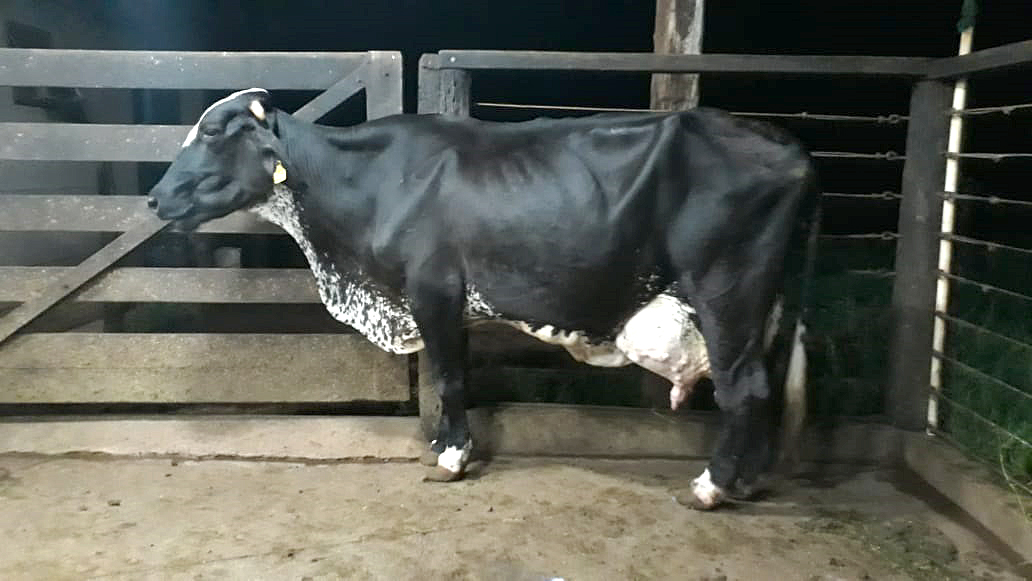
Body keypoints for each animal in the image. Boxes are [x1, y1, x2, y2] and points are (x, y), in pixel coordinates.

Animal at [147, 88, 820, 510]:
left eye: (213, 132)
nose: (154, 198)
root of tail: (788, 148)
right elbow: (452, 375)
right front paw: (447, 446)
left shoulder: (434, 291)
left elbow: (448, 377)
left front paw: (452, 458)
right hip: (766, 301)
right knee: (766, 385)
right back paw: (748, 480)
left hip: (727, 289)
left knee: (744, 389)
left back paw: (712, 488)